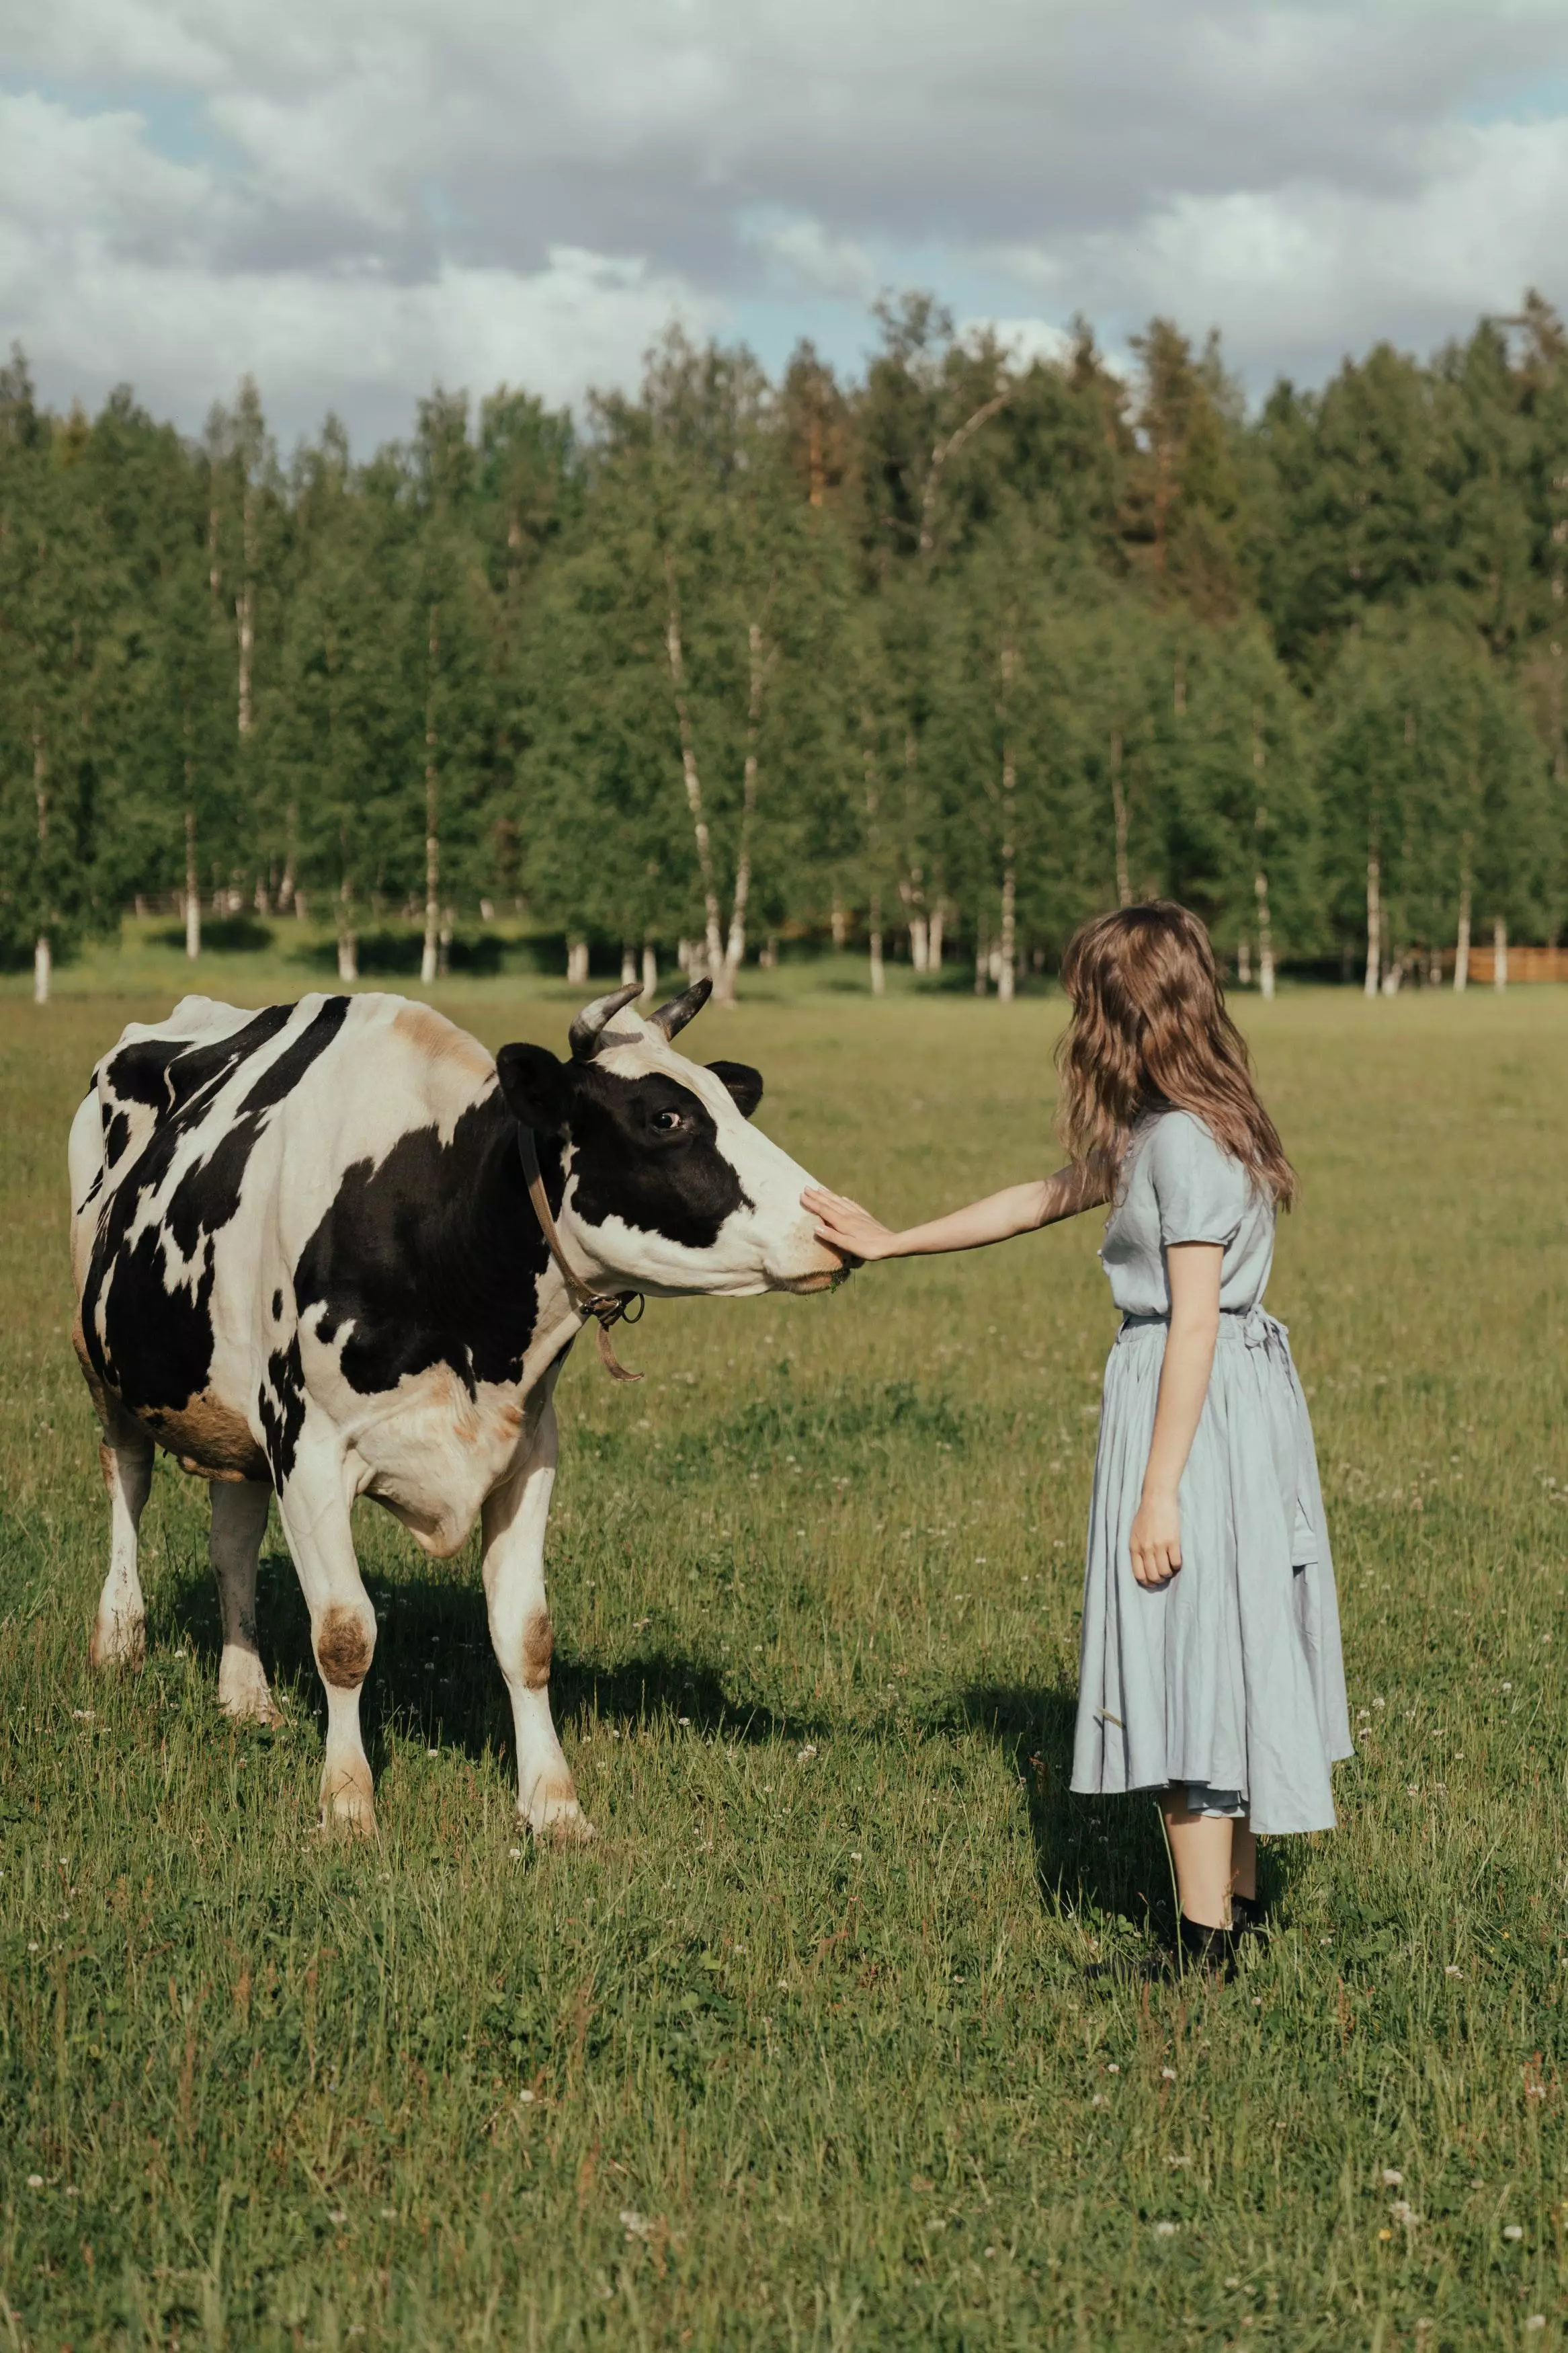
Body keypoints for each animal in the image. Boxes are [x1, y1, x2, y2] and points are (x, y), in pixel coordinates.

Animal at [69, 974, 846, 1835]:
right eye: (664, 1118)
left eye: (728, 1102)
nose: (830, 1222)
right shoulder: (308, 1449)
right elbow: (344, 1632)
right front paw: (348, 1804)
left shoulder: (526, 1452)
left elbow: (525, 1635)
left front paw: (554, 1805)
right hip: (104, 1365)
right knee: (127, 1481)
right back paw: (119, 1639)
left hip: (232, 1412)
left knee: (231, 1542)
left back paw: (247, 1697)